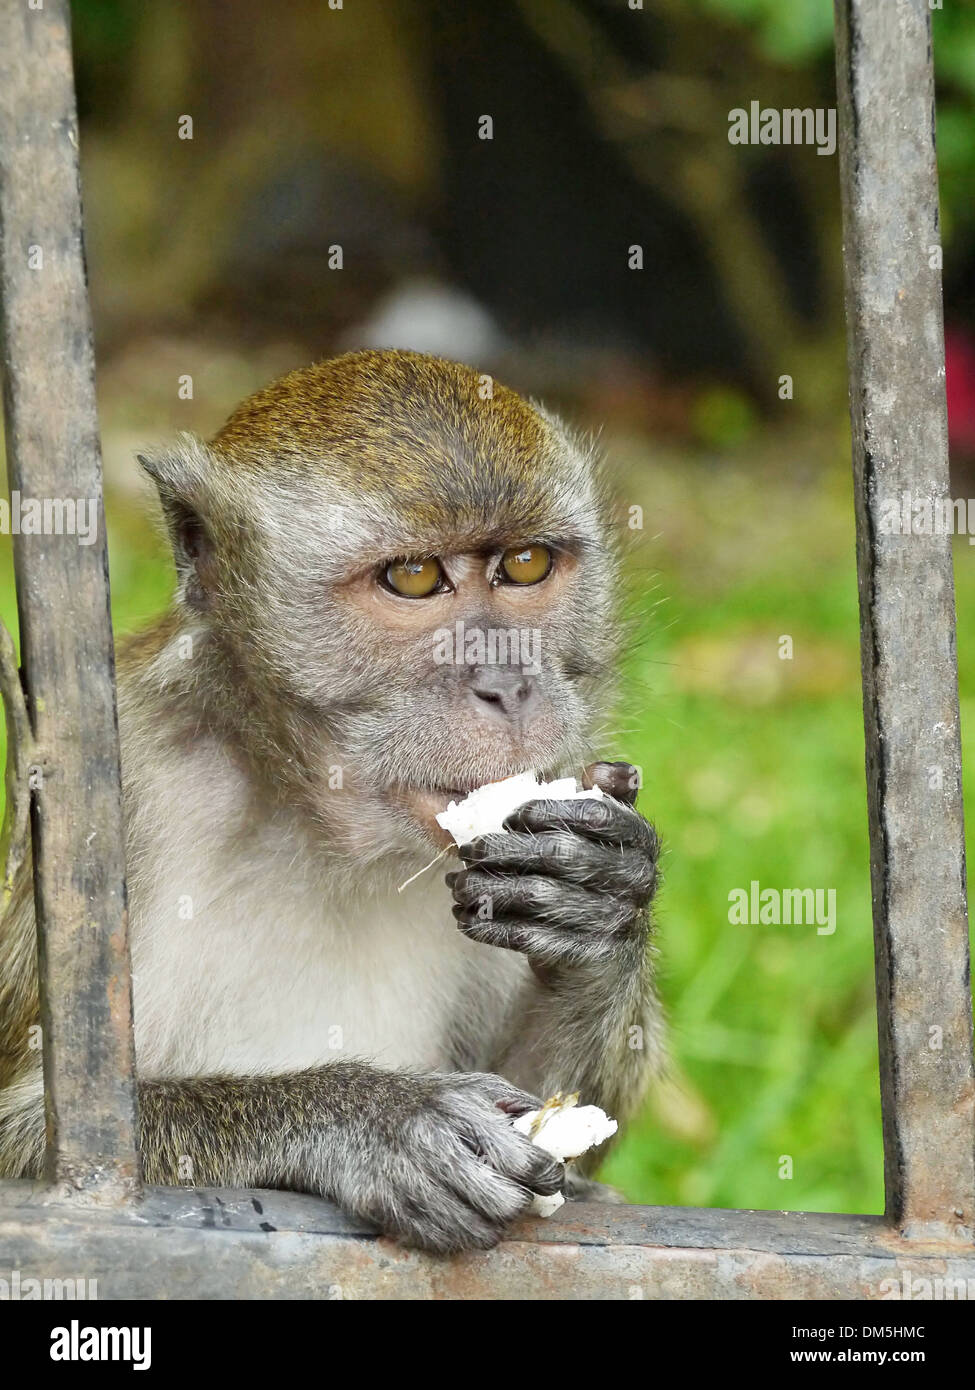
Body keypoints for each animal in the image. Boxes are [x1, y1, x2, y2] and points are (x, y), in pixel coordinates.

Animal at [0, 349, 663, 1253]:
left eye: (524, 564)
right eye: (414, 579)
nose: (508, 683)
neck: (305, 809)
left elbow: (553, 1131)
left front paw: (599, 900)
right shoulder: (124, 783)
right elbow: (36, 1140)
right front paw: (377, 1118)